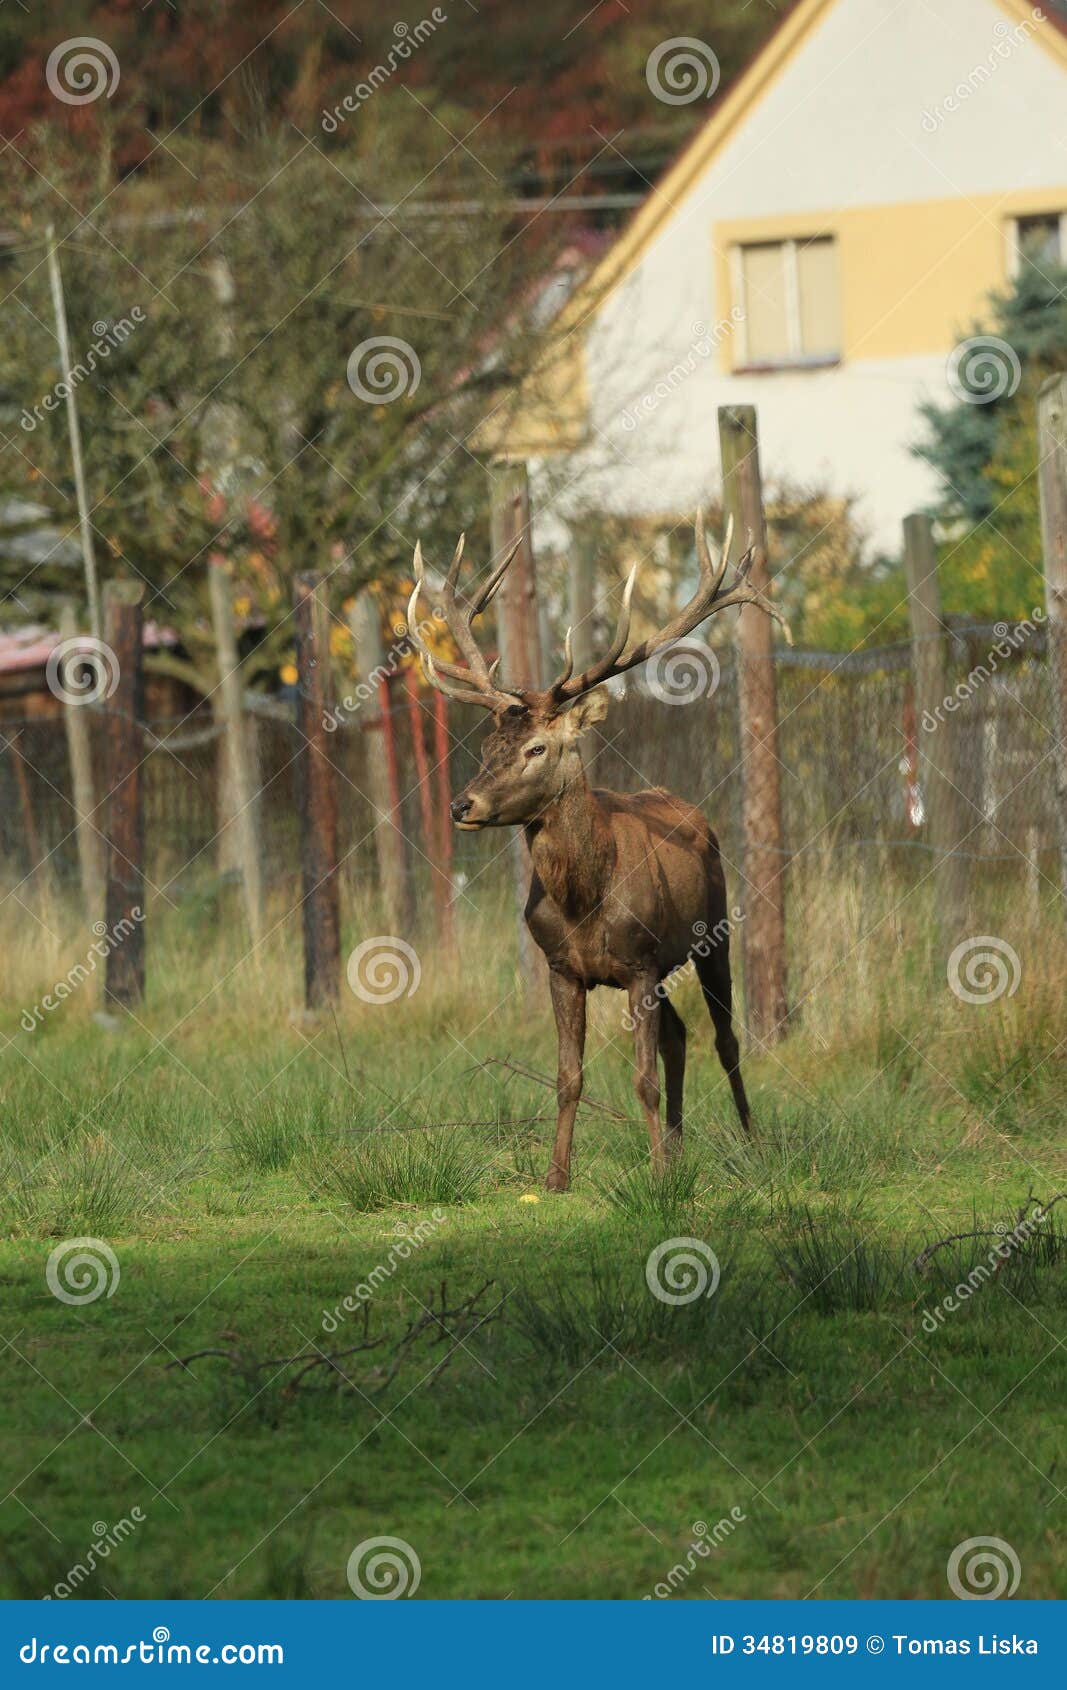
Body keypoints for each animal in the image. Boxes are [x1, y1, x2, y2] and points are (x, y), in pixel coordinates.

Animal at [406, 513, 786, 1192]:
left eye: (537, 749)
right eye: (487, 747)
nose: (462, 806)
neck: (585, 898)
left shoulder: (639, 963)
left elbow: (643, 1080)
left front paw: (656, 1177)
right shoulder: (562, 968)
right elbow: (568, 1078)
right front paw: (556, 1176)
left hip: (713, 934)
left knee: (724, 1040)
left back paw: (749, 1140)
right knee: (679, 1037)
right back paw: (680, 1148)